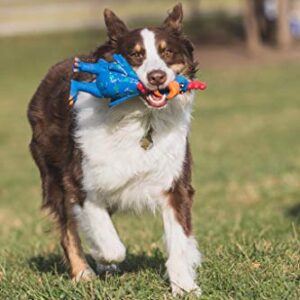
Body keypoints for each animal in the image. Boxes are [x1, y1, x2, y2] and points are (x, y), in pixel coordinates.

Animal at [27, 3, 202, 296]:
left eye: (167, 52)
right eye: (135, 55)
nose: (157, 77)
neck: (141, 119)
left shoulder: (174, 181)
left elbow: (179, 239)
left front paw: (185, 287)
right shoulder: (80, 180)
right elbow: (112, 245)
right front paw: (102, 254)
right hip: (52, 173)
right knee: (68, 229)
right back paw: (84, 272)